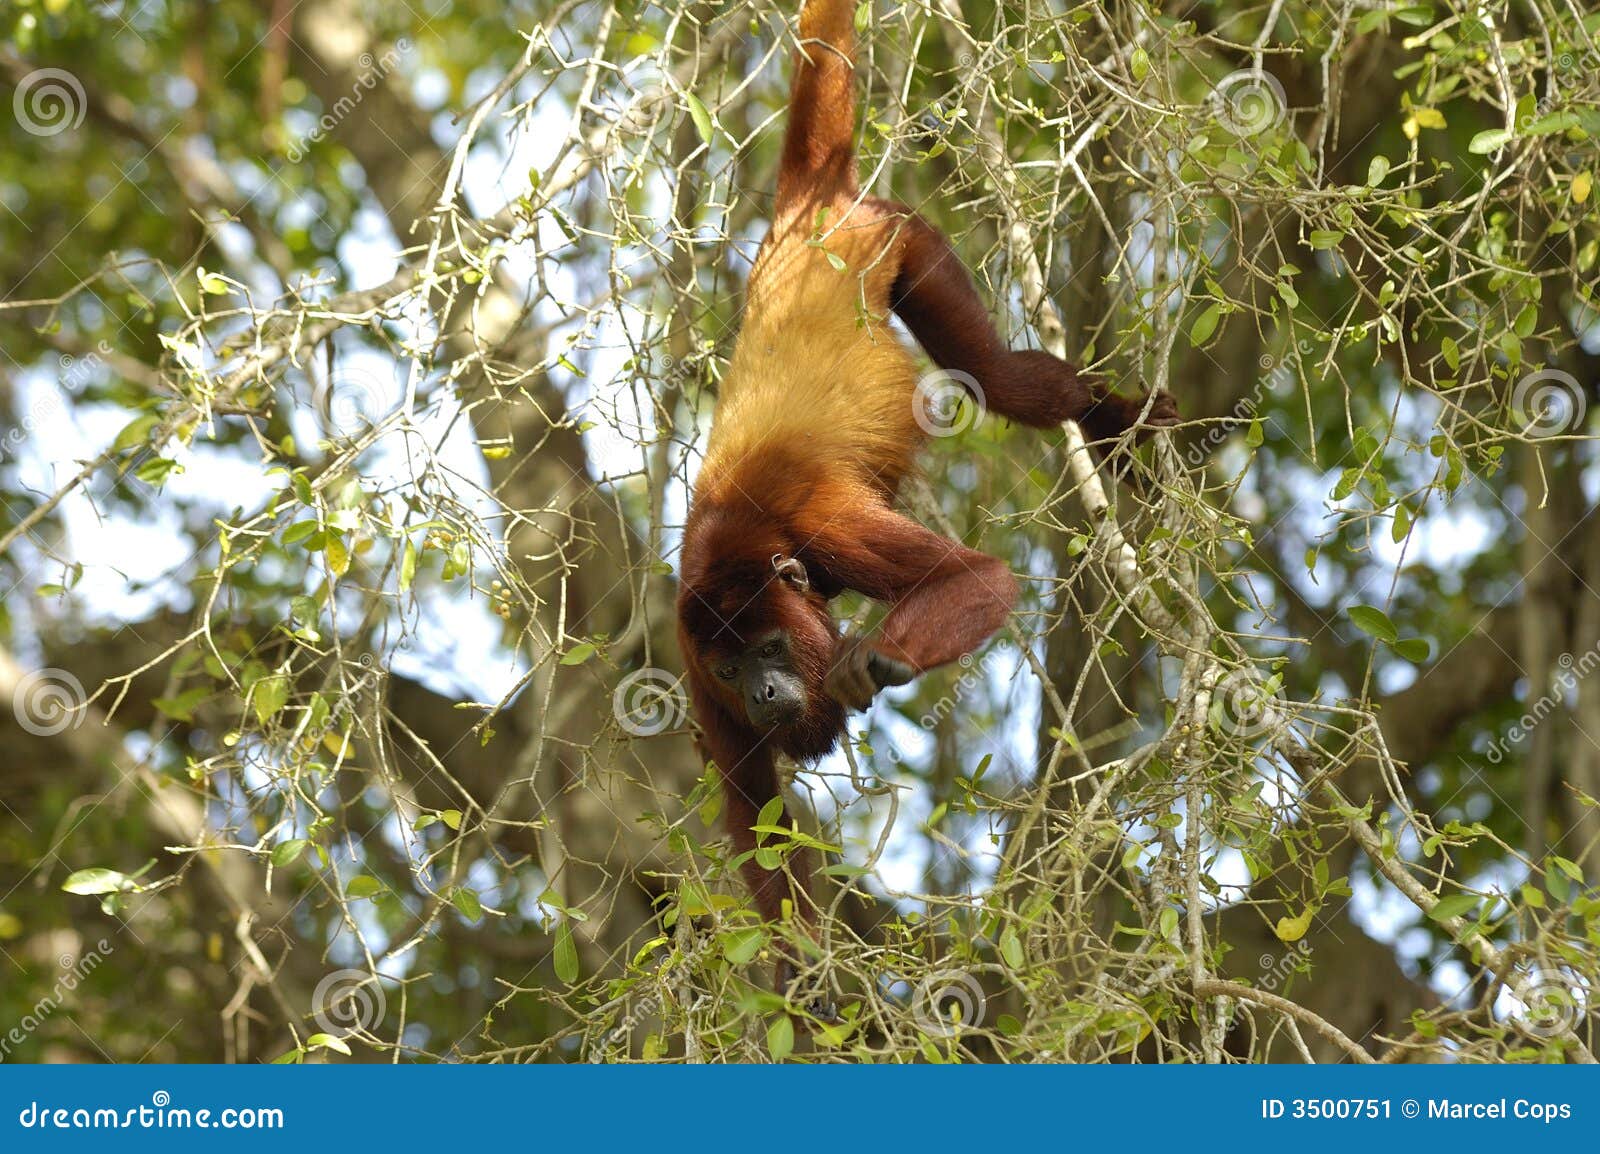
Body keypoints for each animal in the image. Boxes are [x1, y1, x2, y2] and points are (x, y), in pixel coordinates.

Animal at [674, 0, 1178, 1008]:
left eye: (767, 650)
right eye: (731, 670)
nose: (762, 692)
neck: (740, 553)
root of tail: (803, 216)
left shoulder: (824, 526)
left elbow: (976, 579)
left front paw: (882, 657)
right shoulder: (685, 656)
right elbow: (754, 817)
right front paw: (805, 974)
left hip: (899, 234)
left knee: (1001, 375)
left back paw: (1117, 422)